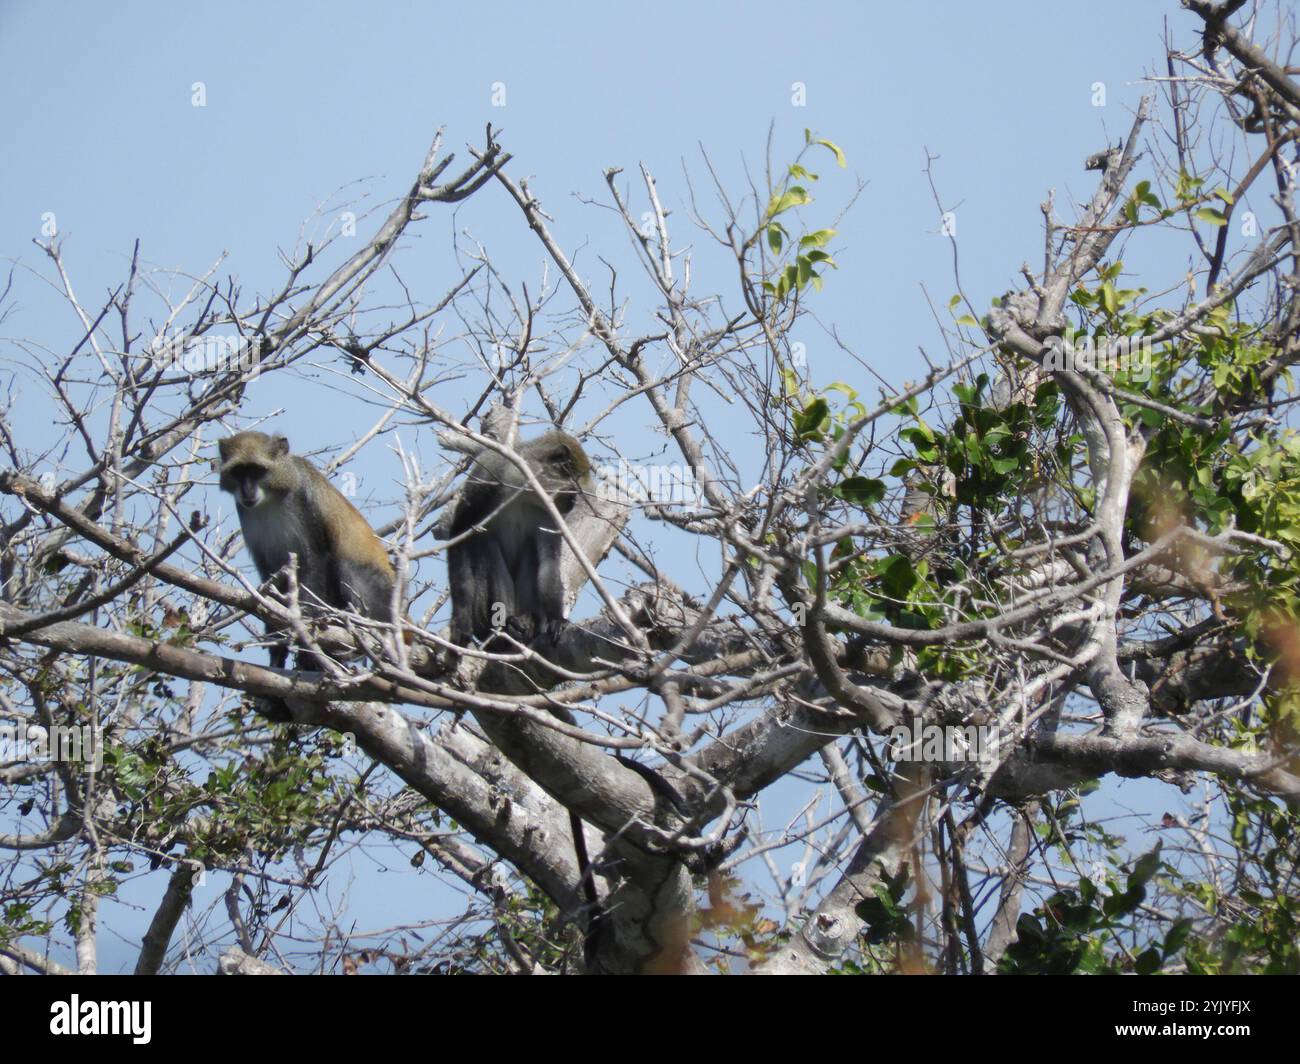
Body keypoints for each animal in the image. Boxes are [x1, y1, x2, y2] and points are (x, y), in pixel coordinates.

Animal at [217, 431, 399, 672]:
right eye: (238, 472)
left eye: (257, 470)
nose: (247, 491)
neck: (272, 498)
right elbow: (269, 576)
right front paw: (276, 643)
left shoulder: (305, 502)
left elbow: (316, 560)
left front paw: (306, 619)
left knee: (345, 566)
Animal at [446, 430, 592, 650]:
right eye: (572, 489)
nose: (574, 501)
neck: (522, 493)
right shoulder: (490, 472)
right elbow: (459, 530)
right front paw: (460, 620)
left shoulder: (548, 513)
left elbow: (549, 561)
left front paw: (557, 619)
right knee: (486, 544)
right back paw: (505, 624)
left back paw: (527, 620)